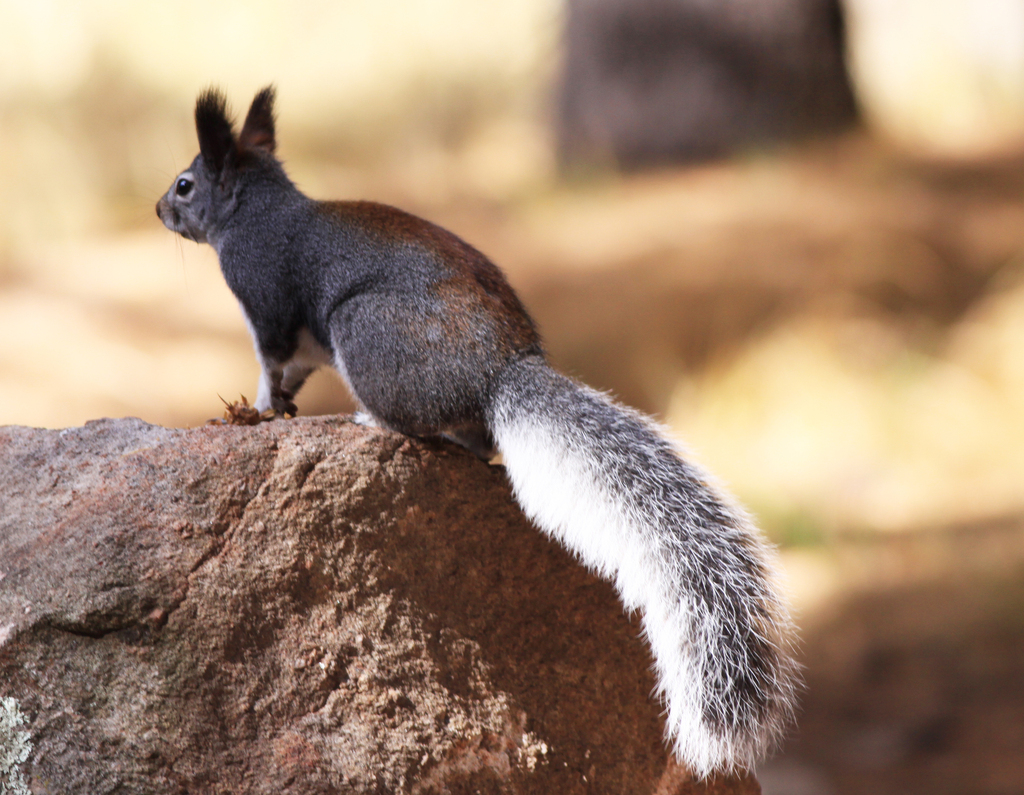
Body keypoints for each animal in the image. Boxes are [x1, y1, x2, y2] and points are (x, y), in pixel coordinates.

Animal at [157, 86, 798, 778]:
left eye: (186, 184)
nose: (159, 208)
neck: (257, 206)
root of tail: (498, 373)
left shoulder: (265, 297)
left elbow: (271, 361)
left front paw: (254, 409)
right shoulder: (299, 341)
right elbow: (292, 370)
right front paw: (268, 409)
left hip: (365, 330)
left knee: (416, 423)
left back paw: (370, 419)